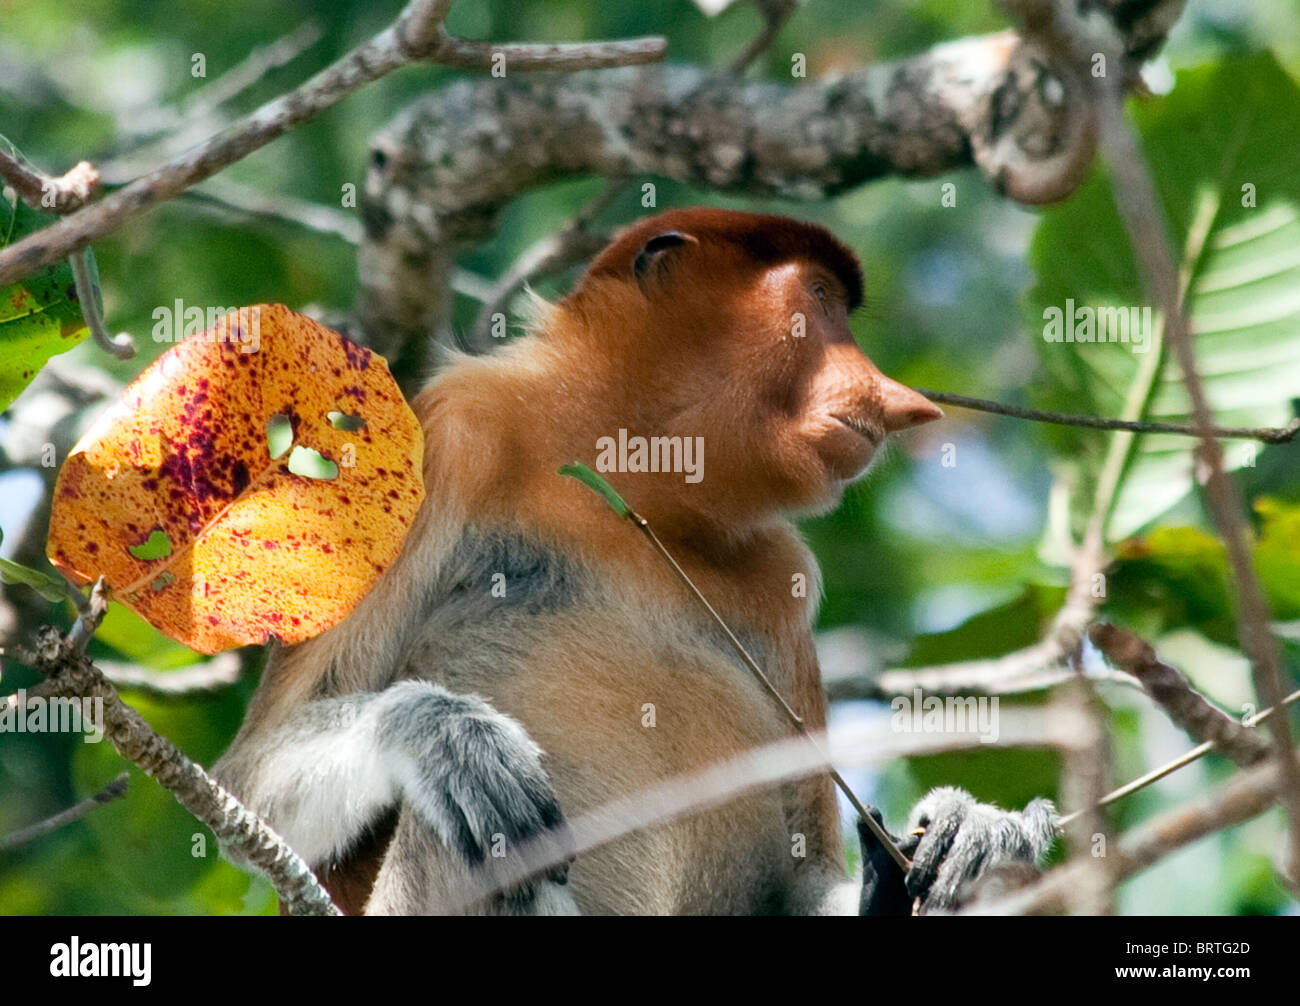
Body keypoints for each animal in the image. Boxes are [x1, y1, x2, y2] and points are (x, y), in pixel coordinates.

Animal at [213, 208, 1057, 915]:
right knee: (481, 829)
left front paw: (974, 833)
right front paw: (448, 737)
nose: (900, 402)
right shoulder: (455, 435)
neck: (626, 475)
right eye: (818, 300)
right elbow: (253, 776)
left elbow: (804, 879)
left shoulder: (782, 578)